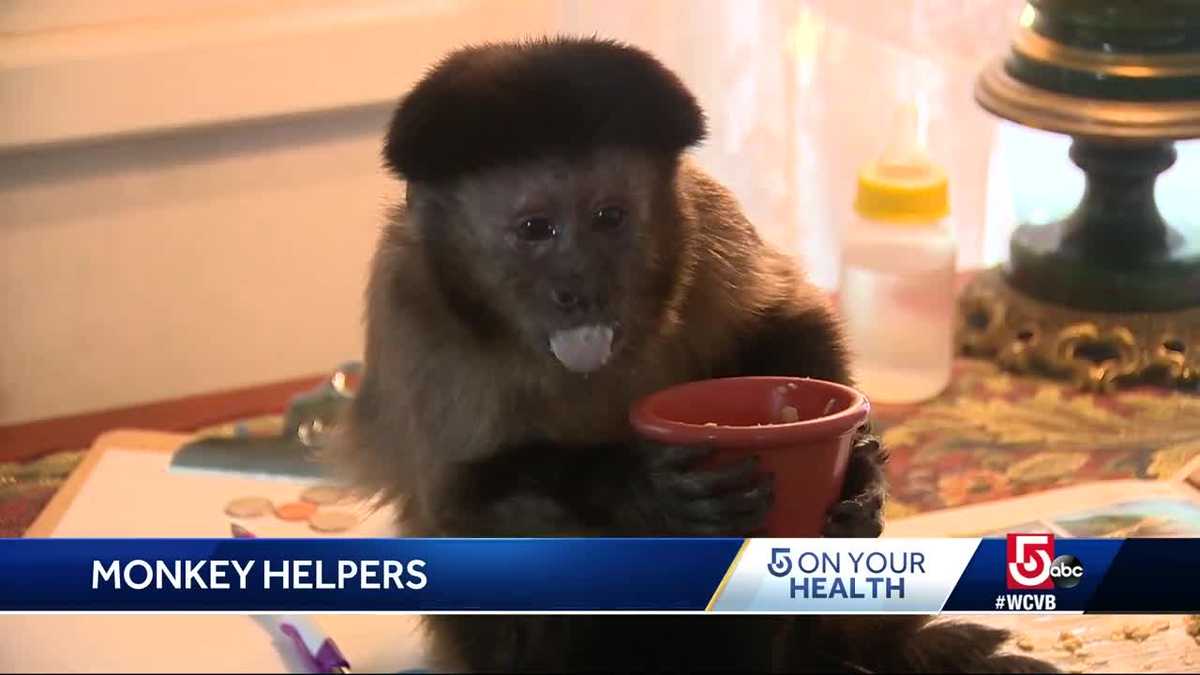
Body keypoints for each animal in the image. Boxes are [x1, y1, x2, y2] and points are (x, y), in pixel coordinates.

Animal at [336, 37, 1056, 673]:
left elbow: (787, 319)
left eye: (609, 217)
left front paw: (859, 475)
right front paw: (643, 490)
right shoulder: (411, 306)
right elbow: (462, 501)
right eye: (536, 229)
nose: (580, 287)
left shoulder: (703, 214)